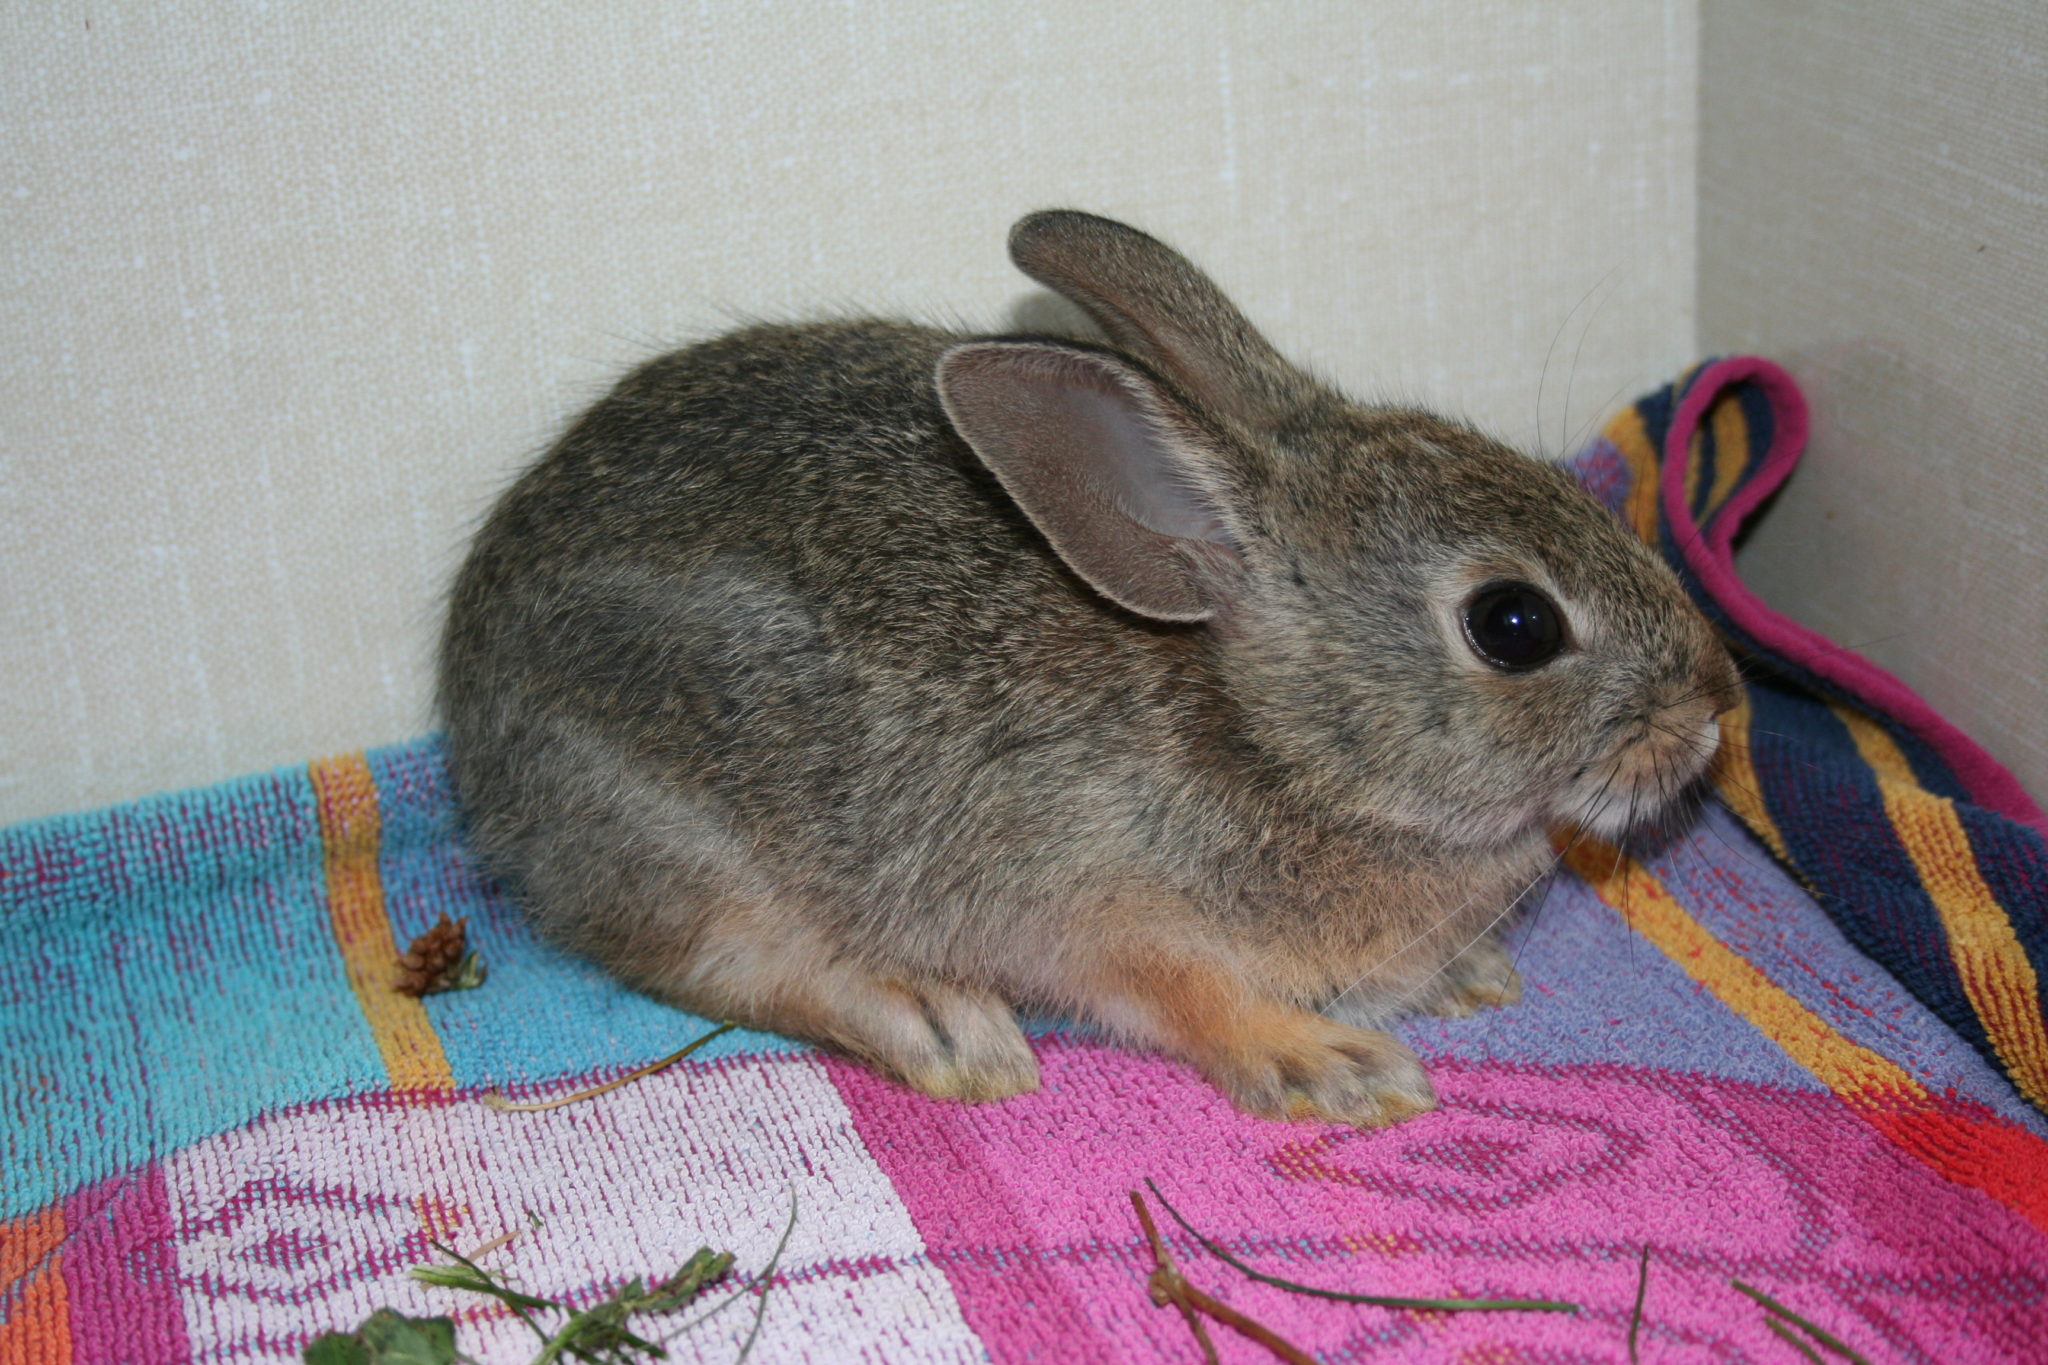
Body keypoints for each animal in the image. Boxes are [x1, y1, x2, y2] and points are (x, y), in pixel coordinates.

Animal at [439, 210, 1739, 1127]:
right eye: (1512, 625)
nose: (1711, 715)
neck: (1278, 739)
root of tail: (468, 706)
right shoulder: (1101, 909)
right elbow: (1189, 998)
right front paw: (1331, 1067)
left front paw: (1464, 975)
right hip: (681, 831)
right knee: (724, 964)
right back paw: (937, 1020)